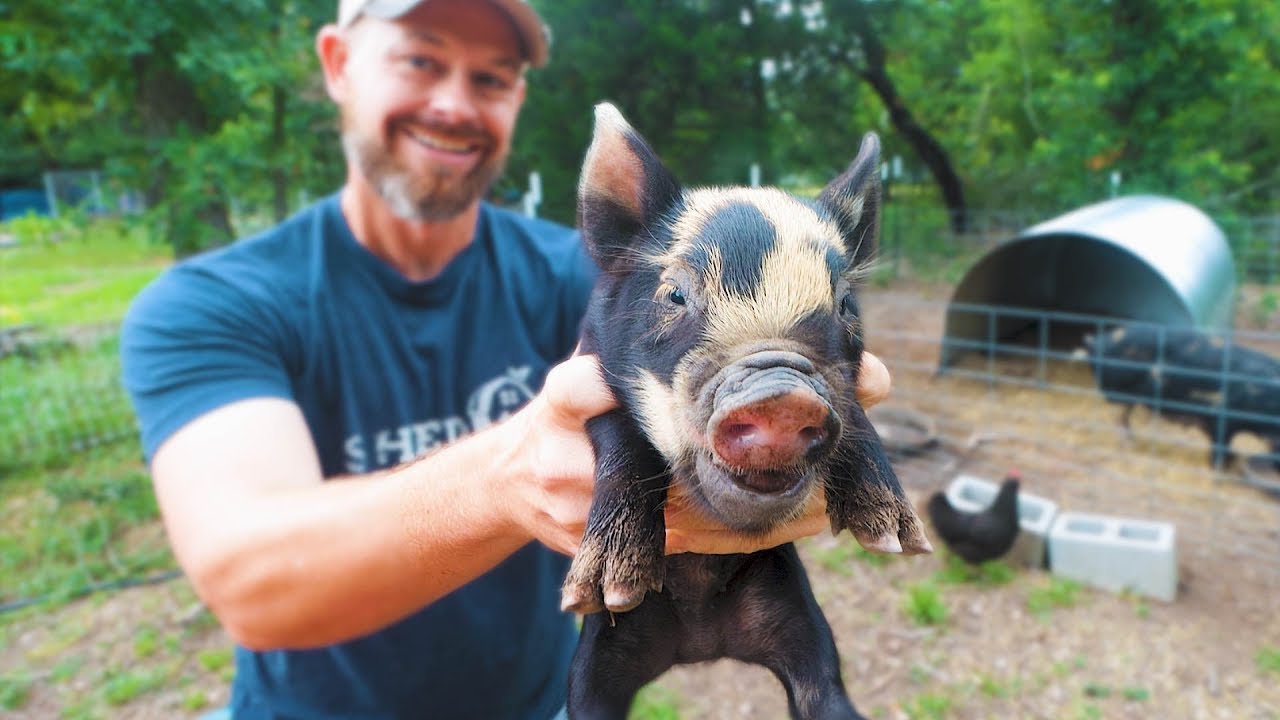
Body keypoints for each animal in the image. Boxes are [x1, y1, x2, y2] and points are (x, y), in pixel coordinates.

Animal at [562, 103, 932, 720]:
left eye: (846, 304)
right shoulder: (584, 373)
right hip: (599, 664)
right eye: (675, 295)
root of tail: (700, 646)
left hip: (795, 616)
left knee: (823, 690)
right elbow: (622, 437)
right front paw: (608, 585)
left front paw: (897, 539)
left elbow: (856, 418)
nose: (782, 392)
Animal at [1082, 323, 1280, 468]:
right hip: (1118, 392)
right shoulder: (1220, 419)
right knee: (1117, 418)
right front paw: (1220, 468)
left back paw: (1133, 441)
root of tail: (1098, 342)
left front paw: (1233, 460)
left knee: (1123, 418)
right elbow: (1219, 446)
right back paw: (1129, 445)